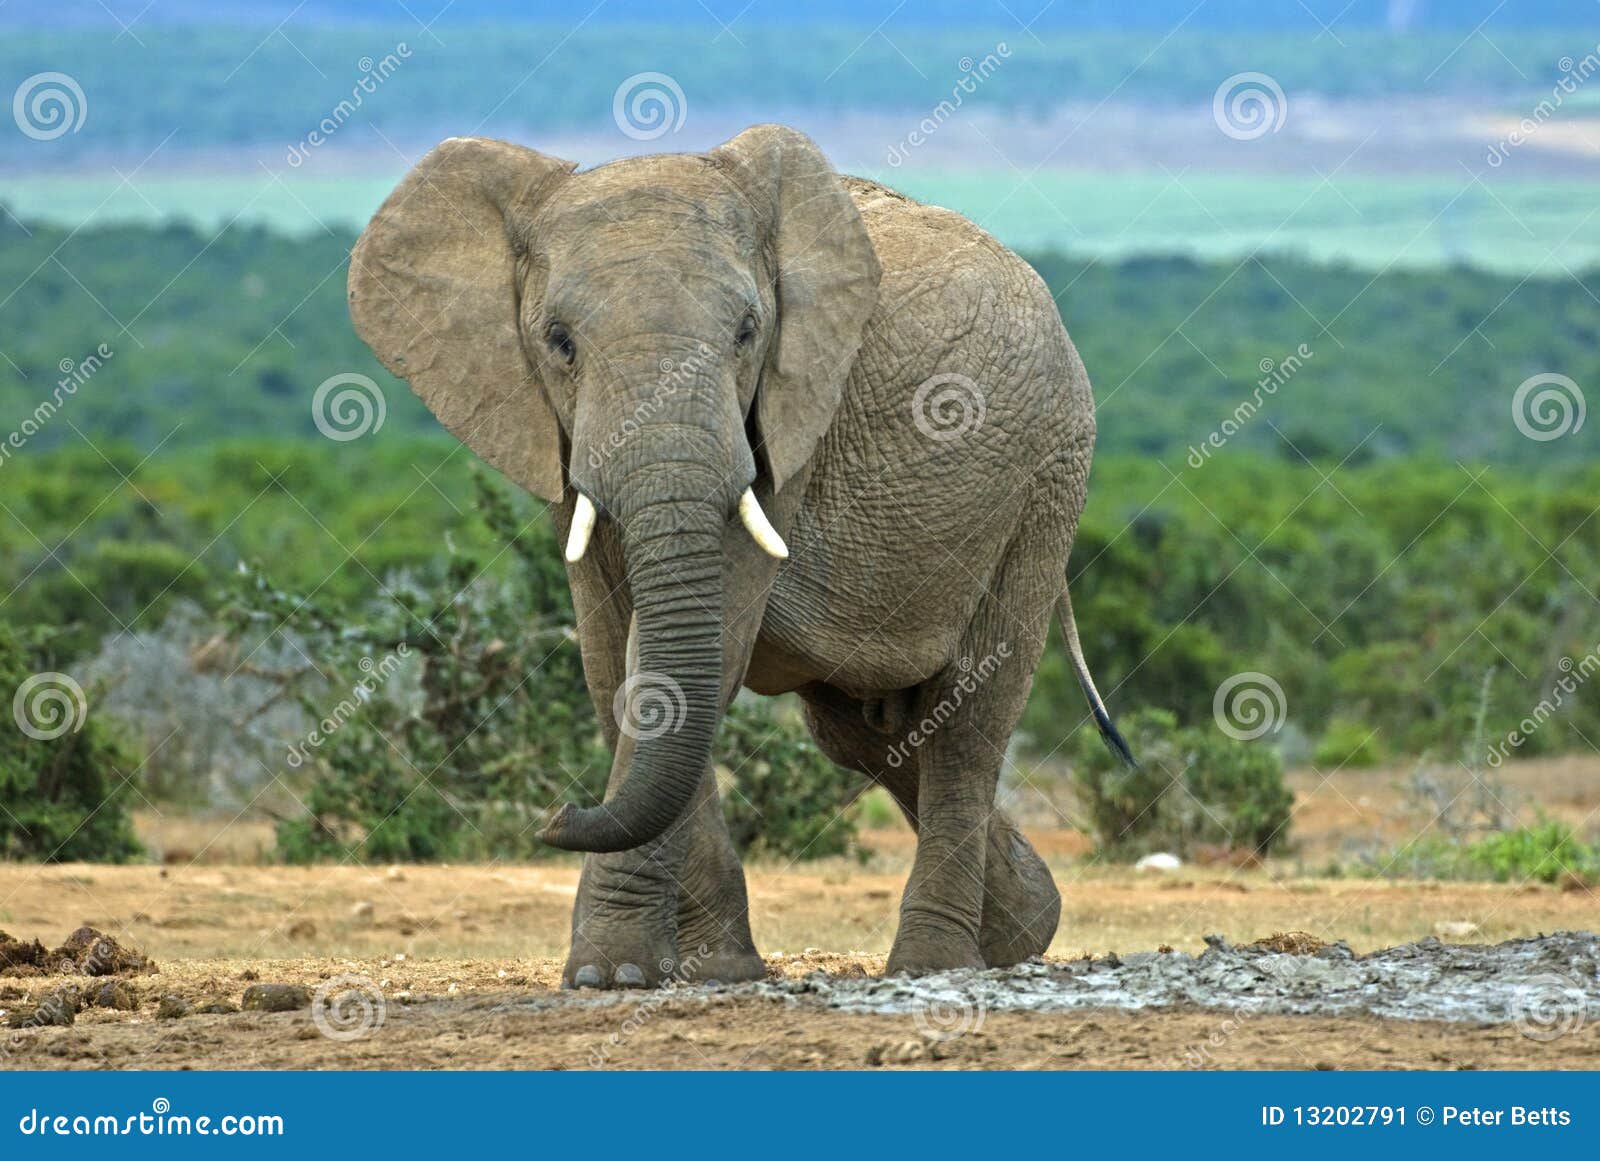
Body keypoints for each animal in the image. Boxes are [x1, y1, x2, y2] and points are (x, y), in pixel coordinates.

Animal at [348, 124, 1132, 985]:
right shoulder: (551, 430)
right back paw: (1021, 929)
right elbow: (610, 660)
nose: (556, 814)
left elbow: (693, 657)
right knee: (868, 732)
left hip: (1046, 482)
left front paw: (613, 974)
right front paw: (705, 970)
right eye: (558, 343)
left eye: (748, 333)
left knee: (968, 715)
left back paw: (934, 965)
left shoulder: (788, 427)